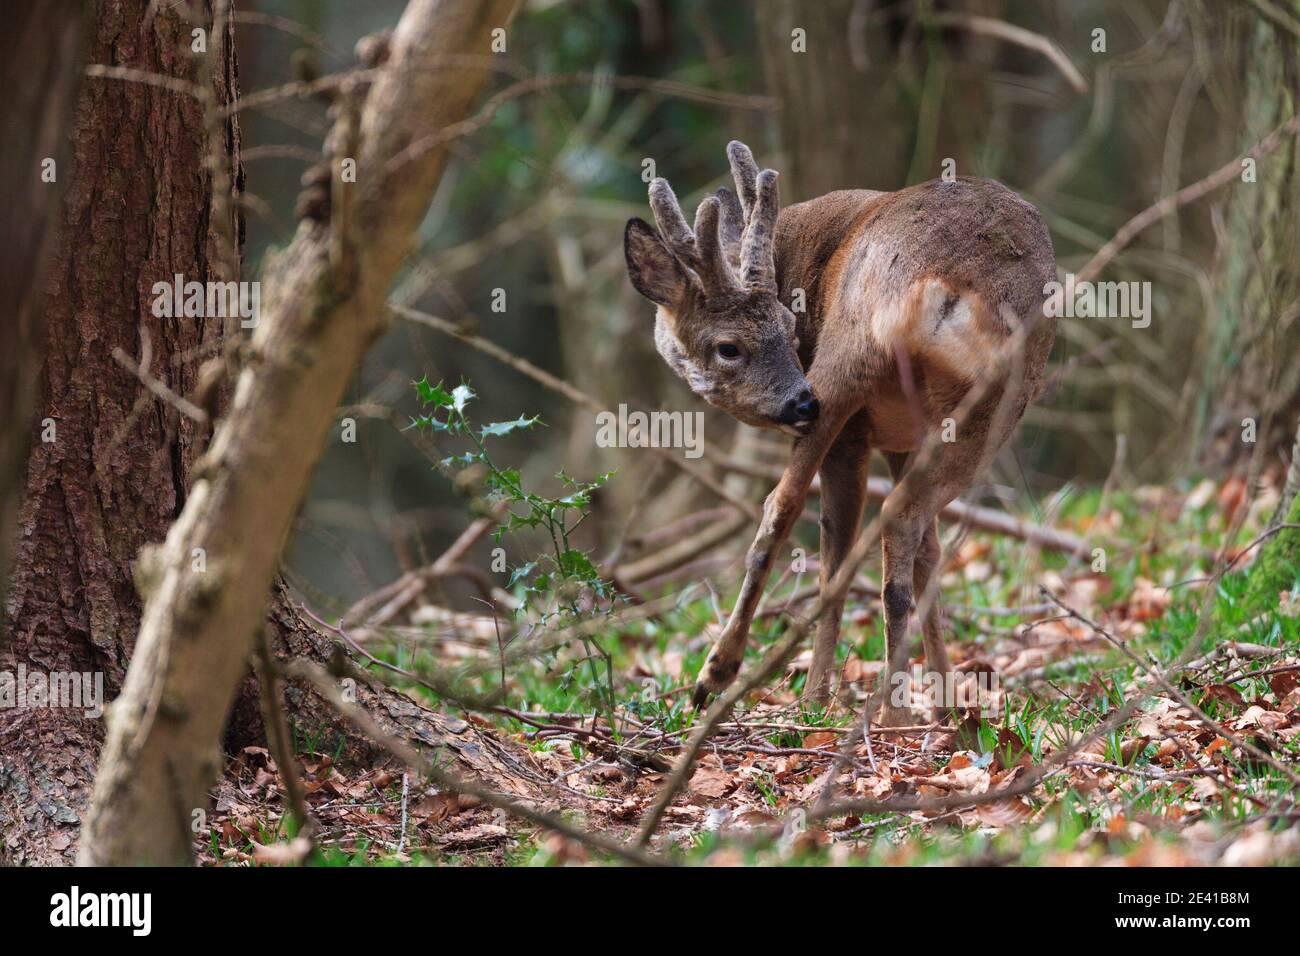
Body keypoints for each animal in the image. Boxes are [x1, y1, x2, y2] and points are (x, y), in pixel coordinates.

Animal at [623, 141, 1056, 725]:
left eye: (787, 327)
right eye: (731, 347)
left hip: (848, 356)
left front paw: (814, 698)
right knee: (907, 522)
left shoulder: (854, 432)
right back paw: (911, 708)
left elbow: (833, 547)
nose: (797, 400)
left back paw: (724, 677)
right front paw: (946, 696)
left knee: (787, 509)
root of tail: (938, 285)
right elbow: (929, 554)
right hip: (994, 405)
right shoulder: (904, 442)